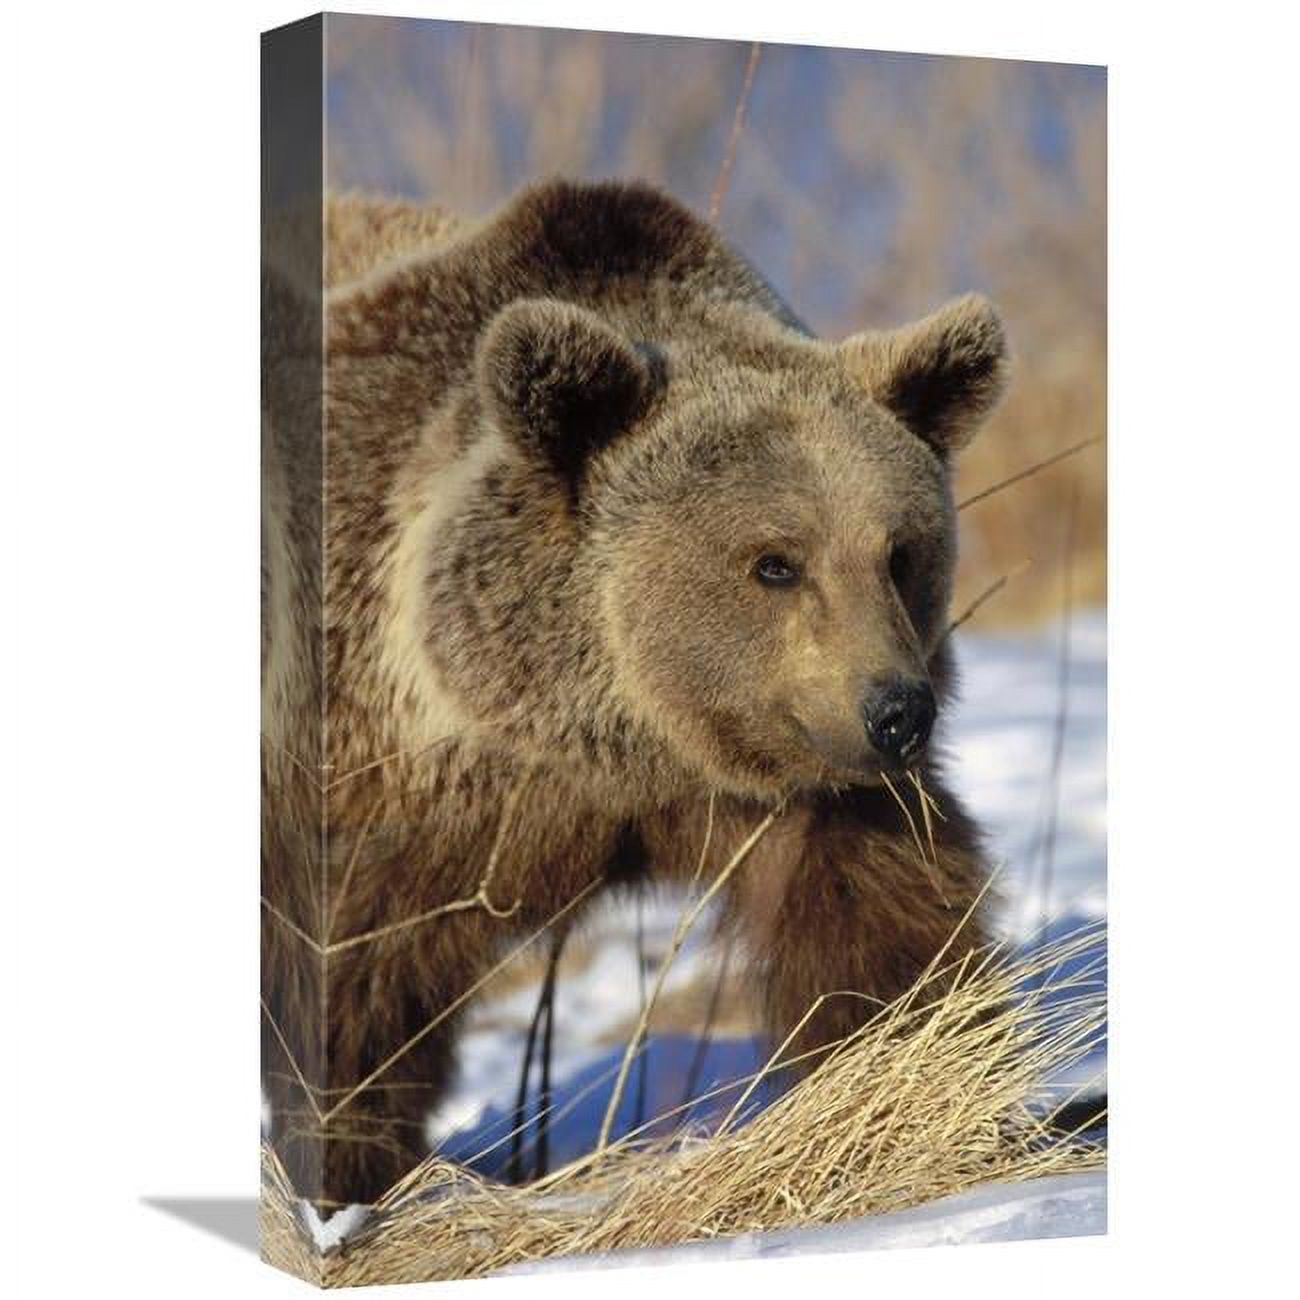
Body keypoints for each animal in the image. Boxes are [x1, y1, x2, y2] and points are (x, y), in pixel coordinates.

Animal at [260, 178, 1009, 1209]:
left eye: (899, 552)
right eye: (775, 562)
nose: (898, 711)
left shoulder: (799, 793)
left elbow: (884, 926)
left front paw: (914, 1084)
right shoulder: (388, 775)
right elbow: (352, 992)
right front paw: (352, 1175)